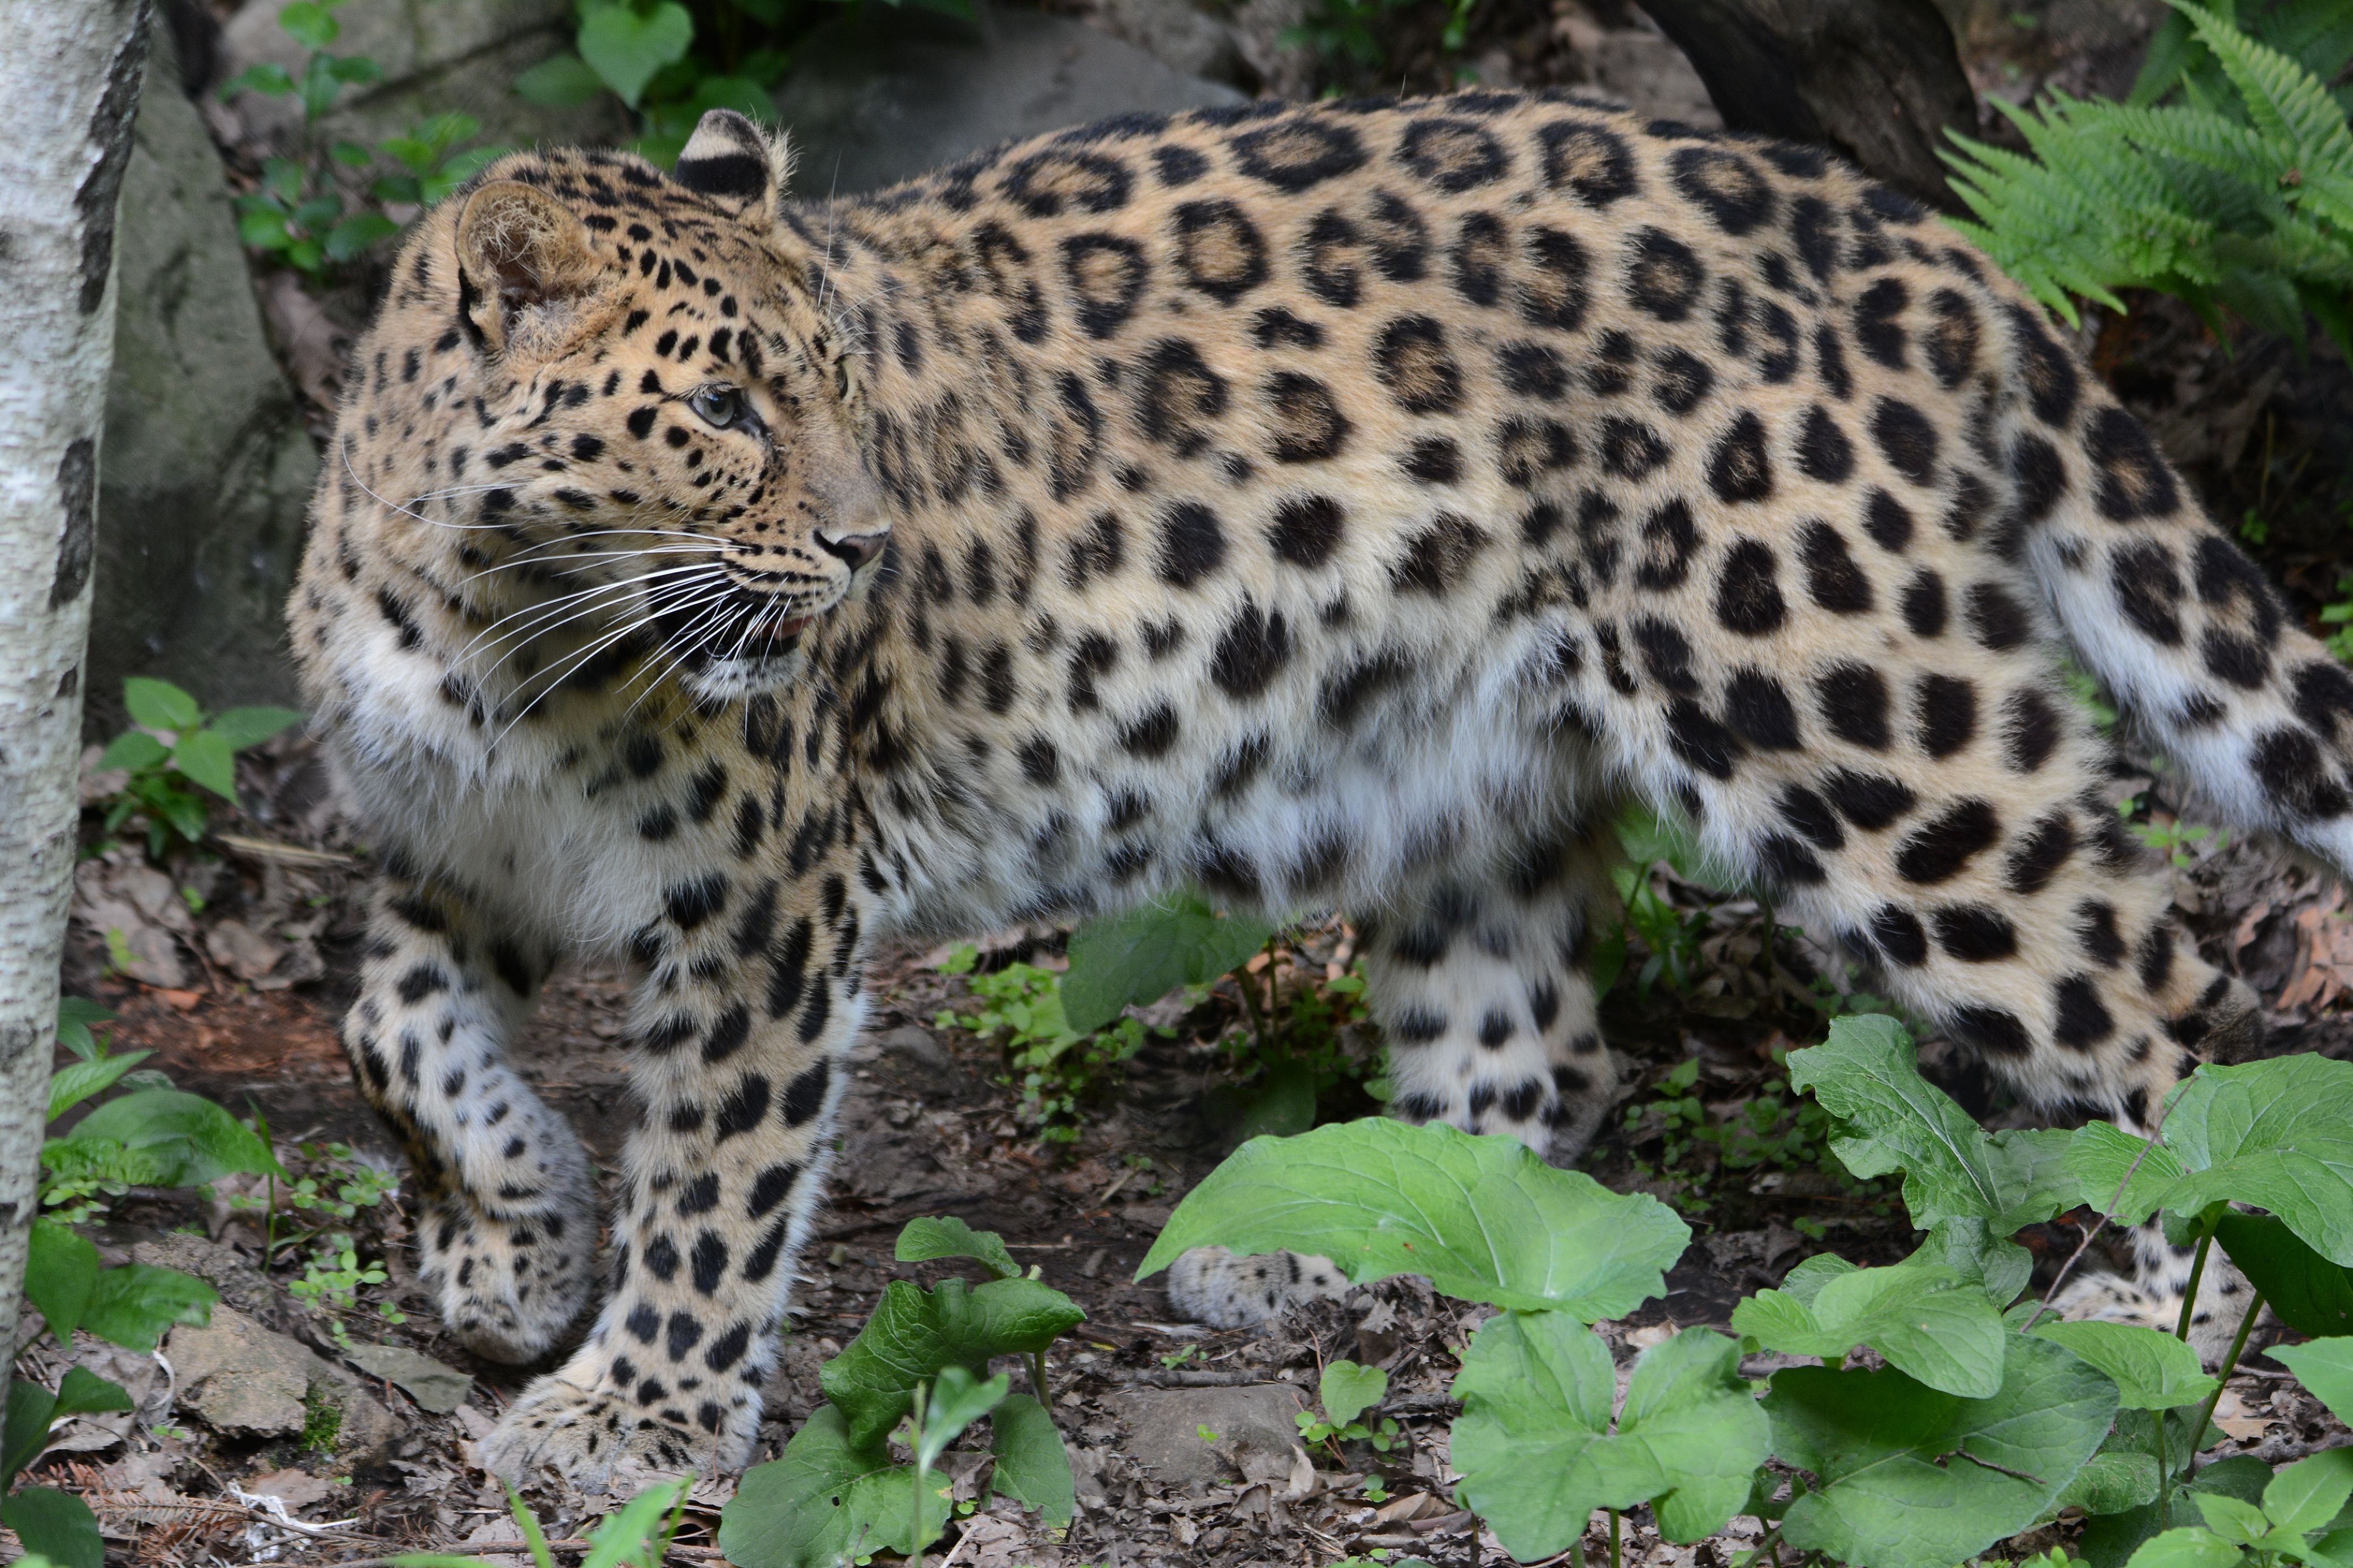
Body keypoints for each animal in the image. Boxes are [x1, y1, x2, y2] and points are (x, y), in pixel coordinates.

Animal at [287, 92, 2353, 1490]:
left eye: (849, 390)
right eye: (723, 410)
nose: (872, 549)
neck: (495, 617)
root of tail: (1912, 236)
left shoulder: (767, 897)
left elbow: (718, 1179)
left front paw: (632, 1412)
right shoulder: (448, 841)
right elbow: (392, 1024)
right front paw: (509, 1250)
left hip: (1840, 707)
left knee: (2155, 989)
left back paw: (2161, 1319)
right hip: (1463, 773)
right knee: (1526, 1073)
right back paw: (1307, 1247)